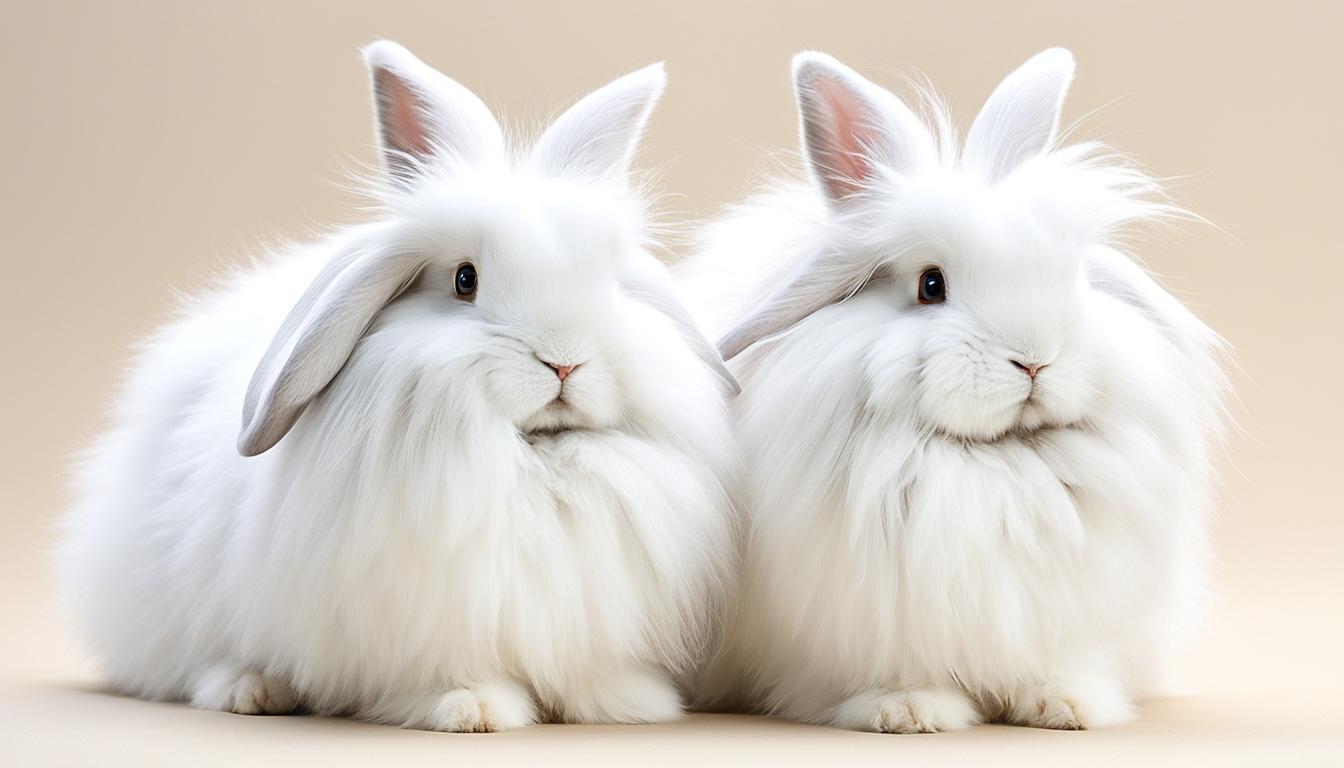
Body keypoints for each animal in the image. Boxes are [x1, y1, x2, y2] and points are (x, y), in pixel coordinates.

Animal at [56, 40, 741, 732]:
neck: (531, 460)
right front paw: (473, 708)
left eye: (608, 282)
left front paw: (629, 702)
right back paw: (251, 690)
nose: (565, 362)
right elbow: (452, 668)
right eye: (465, 279)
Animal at [685, 49, 1229, 732]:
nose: (1035, 361)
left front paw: (1069, 705)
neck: (991, 463)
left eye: (1071, 276)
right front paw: (908, 711)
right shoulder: (865, 616)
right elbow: (891, 666)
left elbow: (1063, 657)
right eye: (931, 285)